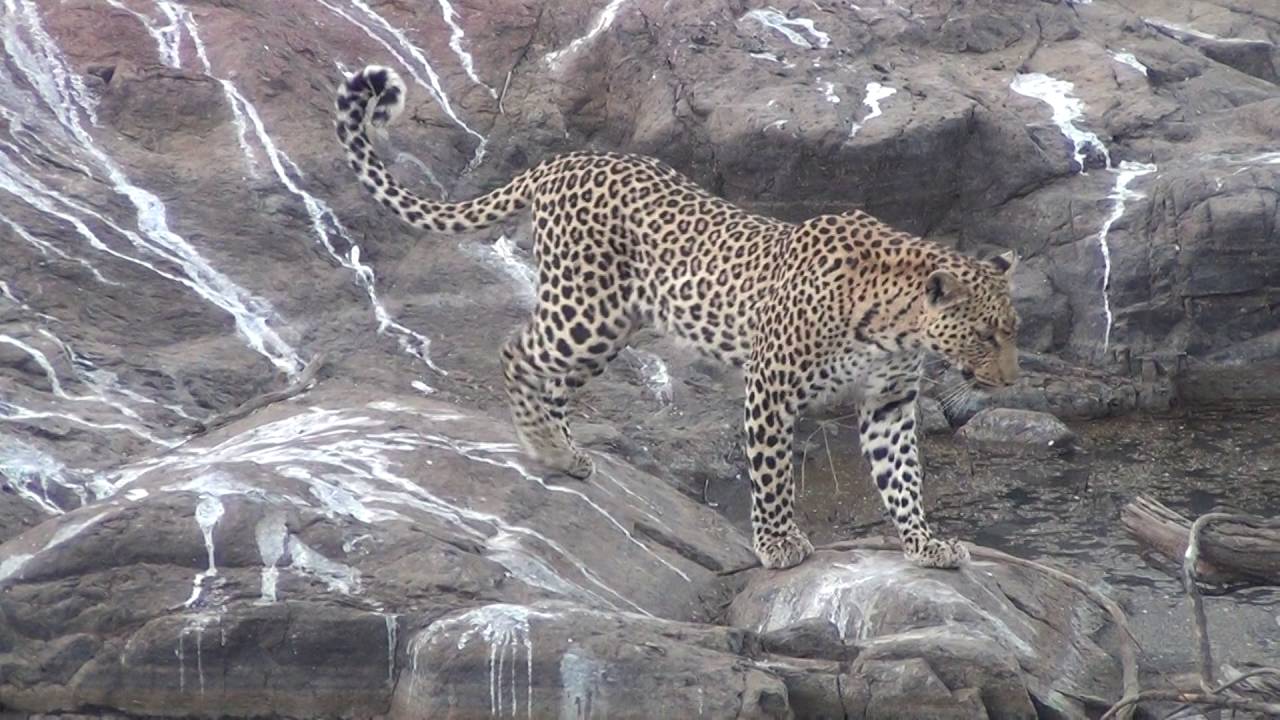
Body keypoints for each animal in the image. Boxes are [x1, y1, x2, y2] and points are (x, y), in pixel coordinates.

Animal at [334, 65, 1021, 570]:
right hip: (584, 310)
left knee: (550, 376)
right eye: (984, 334)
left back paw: (565, 451)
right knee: (516, 349)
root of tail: (562, 161)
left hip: (610, 326)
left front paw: (925, 544)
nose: (1010, 380)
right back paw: (544, 446)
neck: (897, 327)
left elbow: (902, 479)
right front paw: (778, 544)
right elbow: (772, 472)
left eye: (1010, 334)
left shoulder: (889, 404)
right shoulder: (771, 386)